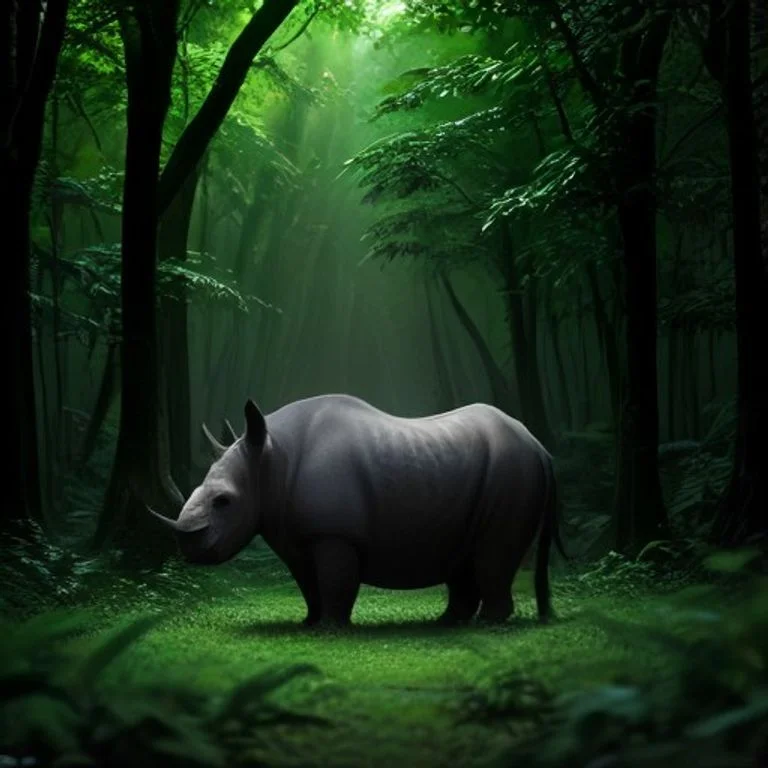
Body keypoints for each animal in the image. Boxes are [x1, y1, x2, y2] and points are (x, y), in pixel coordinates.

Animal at [150, 394, 565, 627]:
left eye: (224, 502)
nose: (187, 547)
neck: (270, 458)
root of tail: (540, 447)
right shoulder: (294, 534)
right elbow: (308, 583)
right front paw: (309, 622)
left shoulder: (335, 533)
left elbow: (336, 582)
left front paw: (332, 628)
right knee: (463, 554)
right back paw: (449, 622)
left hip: (512, 468)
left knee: (492, 553)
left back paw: (488, 624)